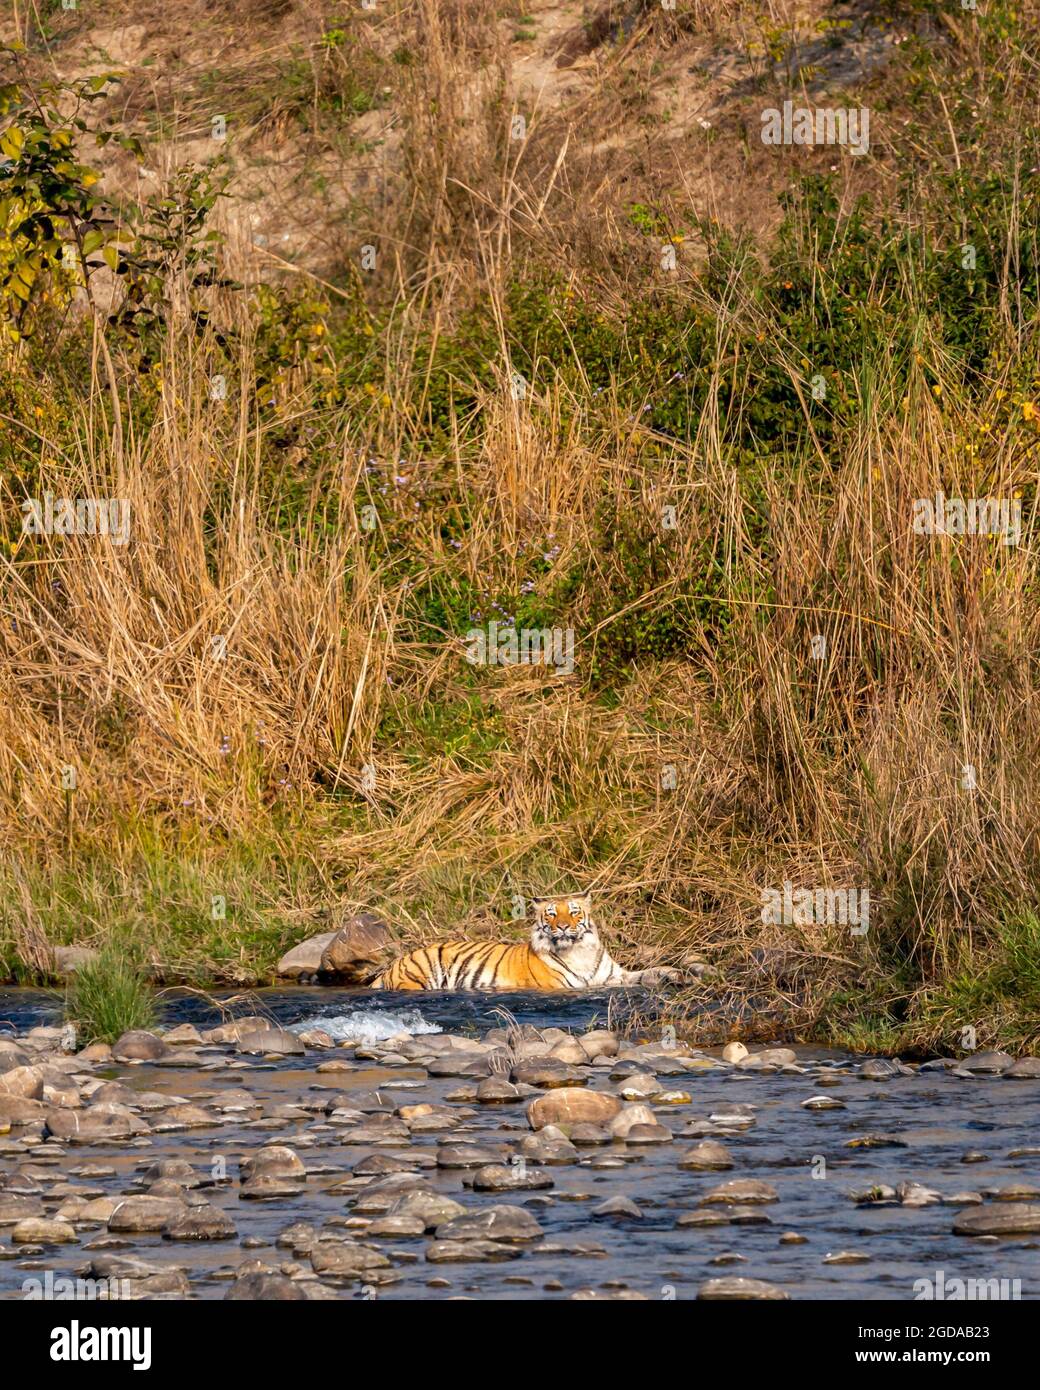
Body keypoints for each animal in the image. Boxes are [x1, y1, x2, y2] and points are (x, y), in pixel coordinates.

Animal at [370, 893, 681, 991]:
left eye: (574, 911)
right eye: (552, 914)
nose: (563, 926)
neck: (578, 950)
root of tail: (393, 964)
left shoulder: (613, 976)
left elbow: (644, 973)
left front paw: (675, 974)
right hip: (418, 977)